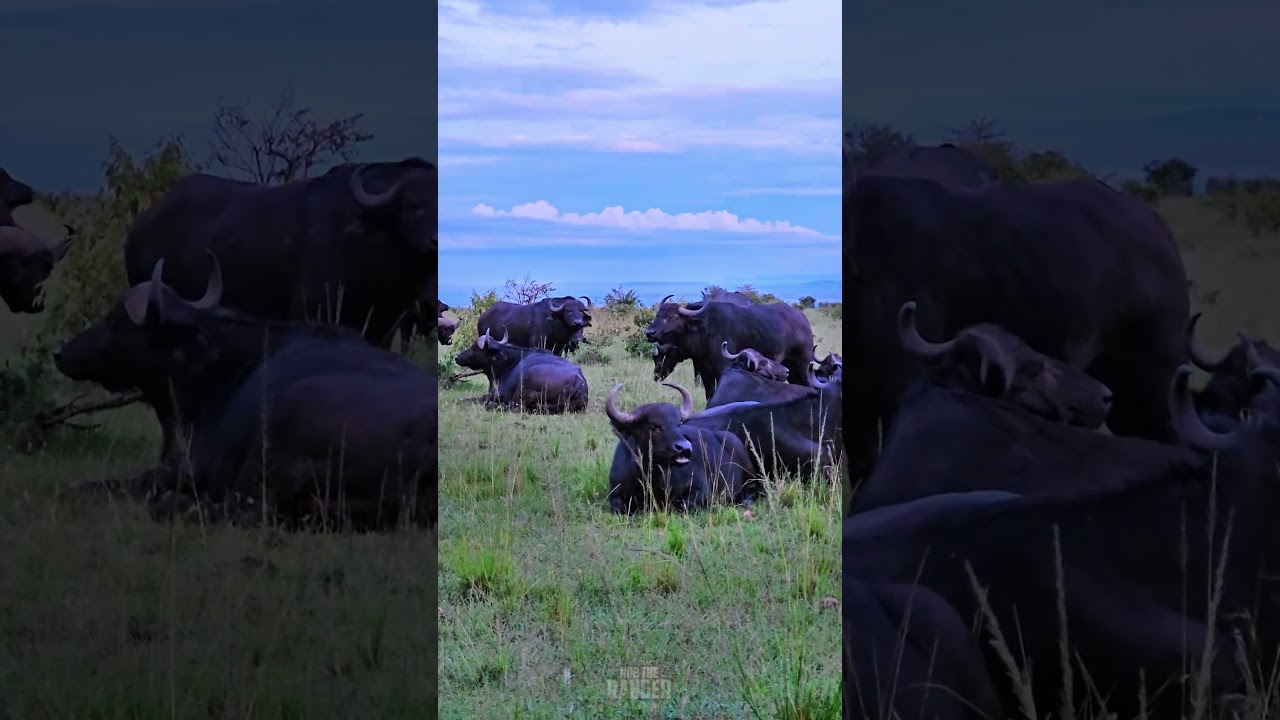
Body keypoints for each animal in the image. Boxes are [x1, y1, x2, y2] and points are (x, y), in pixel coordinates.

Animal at [454, 327, 589, 413]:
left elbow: (482, 397)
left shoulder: (498, 393)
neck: (510, 361)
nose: (457, 357)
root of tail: (577, 379)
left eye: (474, 347)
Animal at [604, 382, 754, 514]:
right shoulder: (615, 492)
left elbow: (686, 504)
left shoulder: (701, 489)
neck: (650, 478)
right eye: (653, 426)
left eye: (678, 424)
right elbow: (619, 507)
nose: (685, 448)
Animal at [645, 296, 815, 401]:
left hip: (803, 365)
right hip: (789, 368)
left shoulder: (722, 370)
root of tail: (803, 320)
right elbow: (710, 393)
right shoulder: (704, 372)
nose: (649, 333)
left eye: (672, 317)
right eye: (658, 315)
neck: (706, 332)